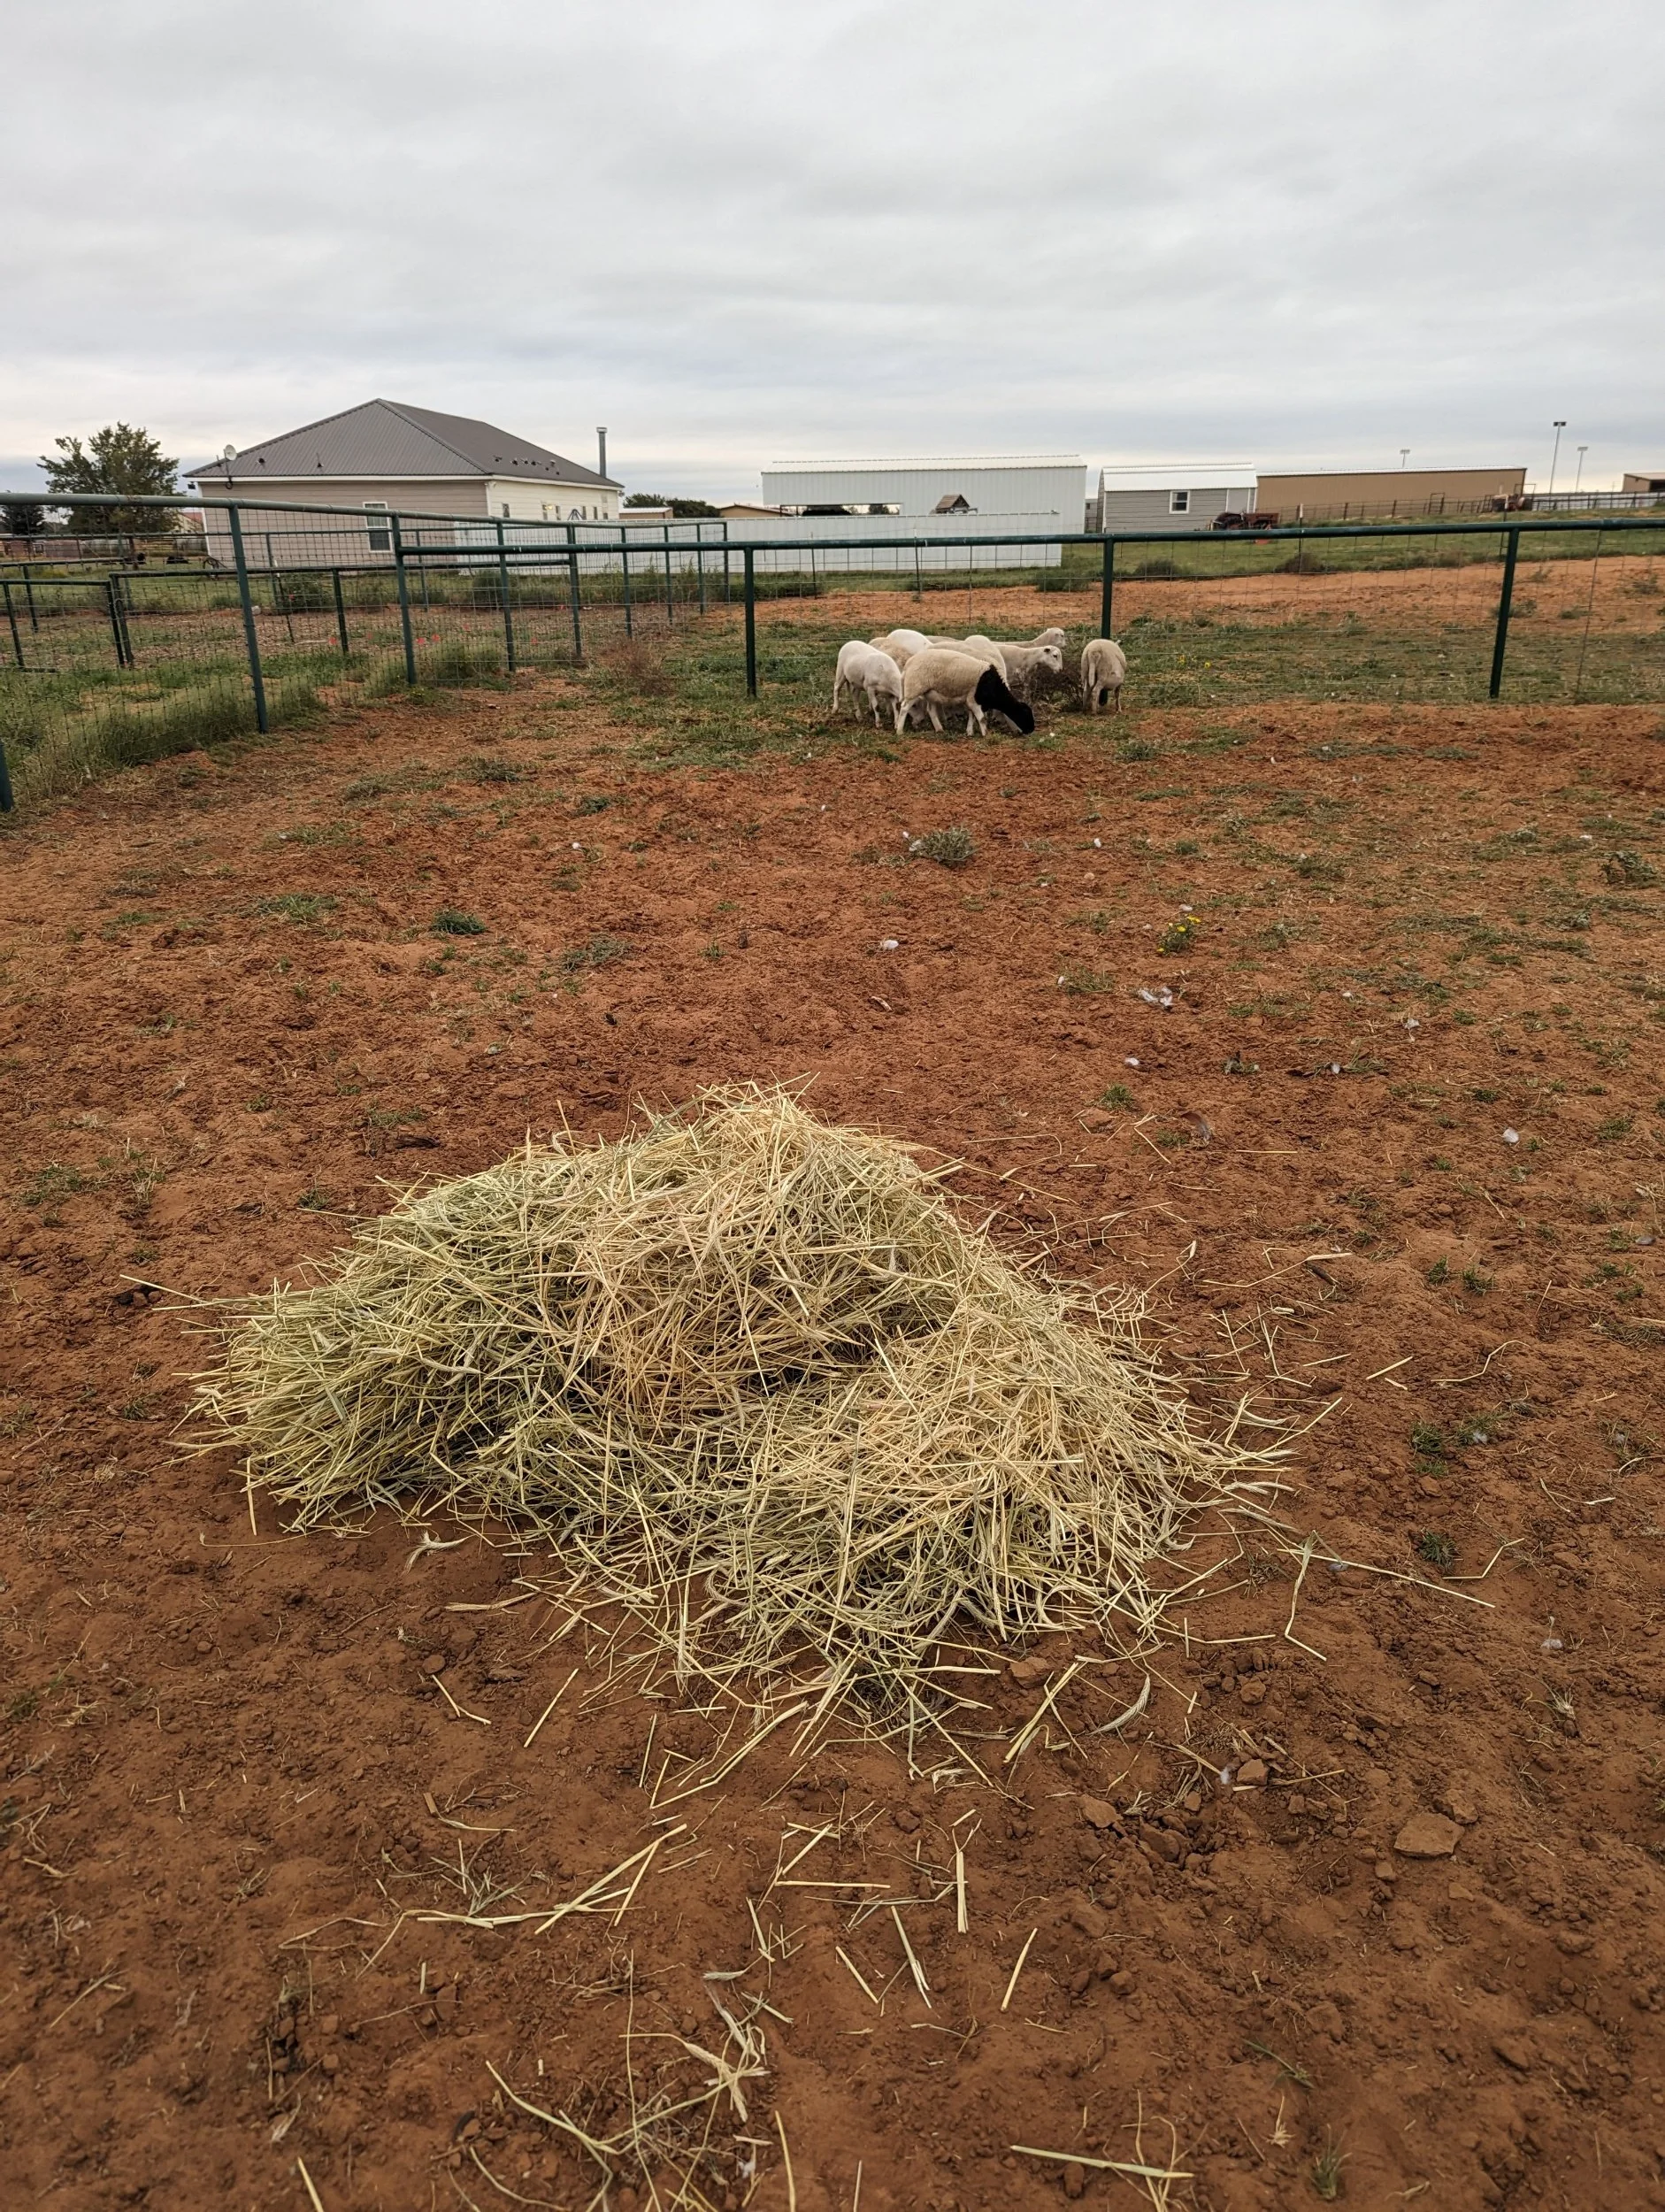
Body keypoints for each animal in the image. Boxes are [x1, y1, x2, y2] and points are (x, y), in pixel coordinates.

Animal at [895, 648, 1036, 739]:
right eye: (1025, 714)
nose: (1031, 730)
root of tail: (909, 663)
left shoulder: (971, 699)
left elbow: (972, 716)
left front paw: (969, 732)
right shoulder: (974, 699)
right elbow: (981, 718)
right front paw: (985, 734)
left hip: (930, 693)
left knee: (931, 710)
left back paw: (939, 729)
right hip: (914, 688)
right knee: (904, 707)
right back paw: (900, 731)